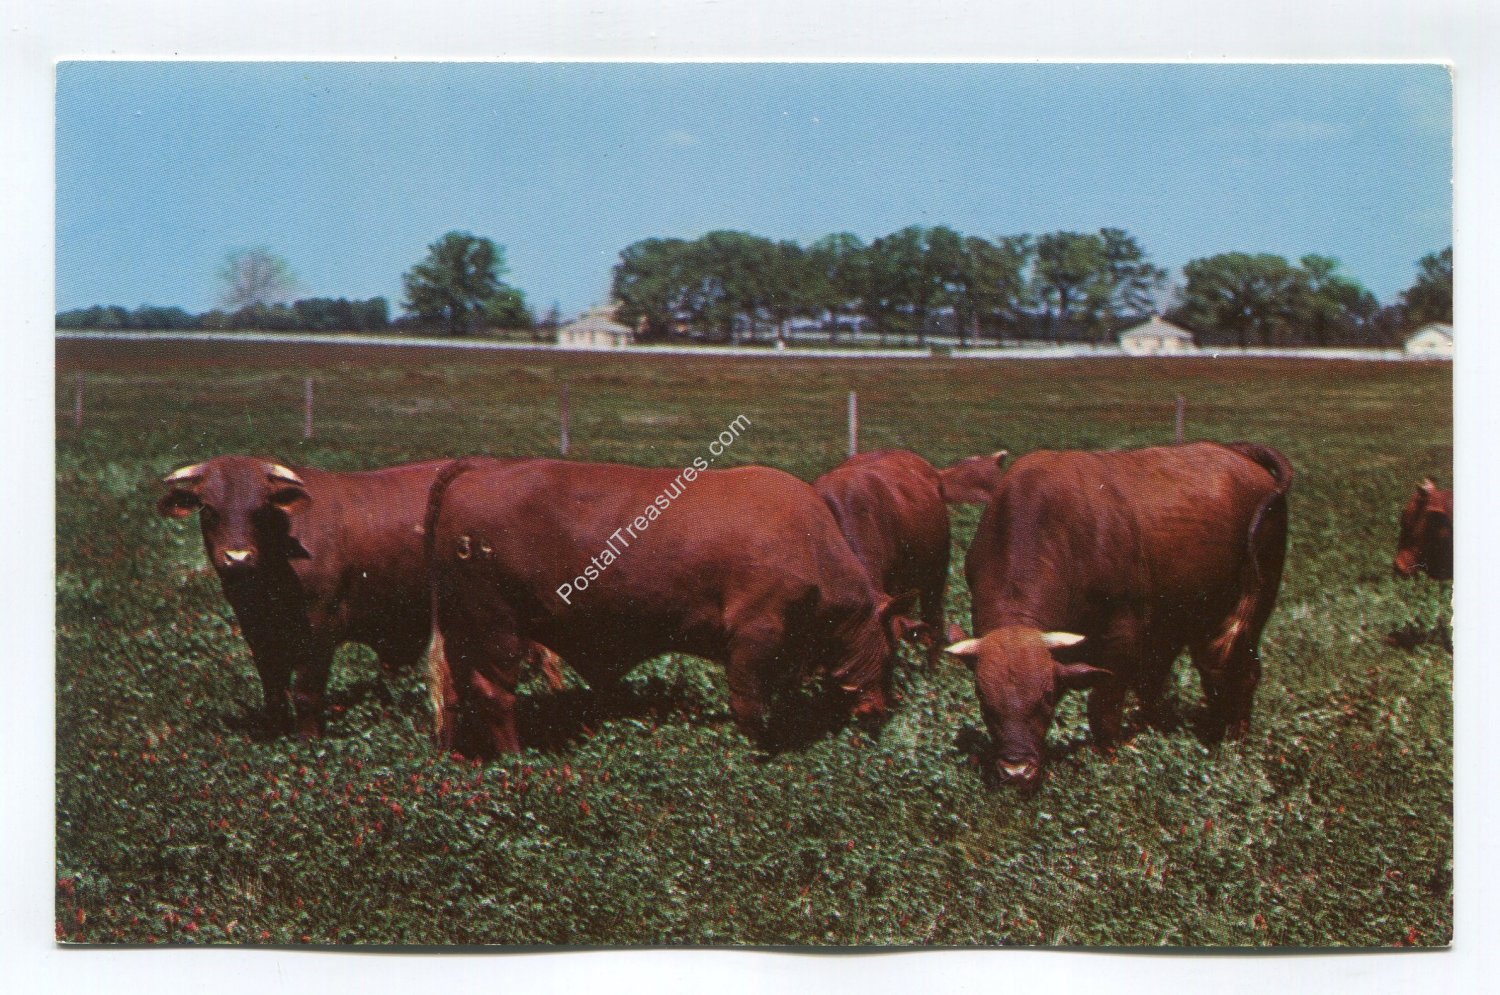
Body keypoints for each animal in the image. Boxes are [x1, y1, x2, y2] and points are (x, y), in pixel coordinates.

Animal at [157, 455, 564, 738]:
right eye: (209, 509)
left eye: (261, 509)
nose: (237, 557)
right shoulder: (258, 631)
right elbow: (273, 689)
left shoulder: (320, 629)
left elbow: (306, 691)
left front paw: (306, 739)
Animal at [424, 457, 912, 757]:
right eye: (891, 655)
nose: (879, 714)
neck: (813, 545)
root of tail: (479, 467)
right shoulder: (755, 635)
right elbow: (750, 704)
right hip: (495, 624)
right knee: (493, 694)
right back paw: (517, 757)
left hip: (461, 627)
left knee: (451, 690)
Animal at [945, 441, 1292, 791]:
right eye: (984, 700)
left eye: (1046, 696)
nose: (1016, 770)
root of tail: (1233, 452)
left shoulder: (1123, 634)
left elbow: (1104, 706)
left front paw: (1107, 760)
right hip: (1194, 619)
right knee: (1204, 675)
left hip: (1252, 607)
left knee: (1242, 672)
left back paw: (1234, 742)